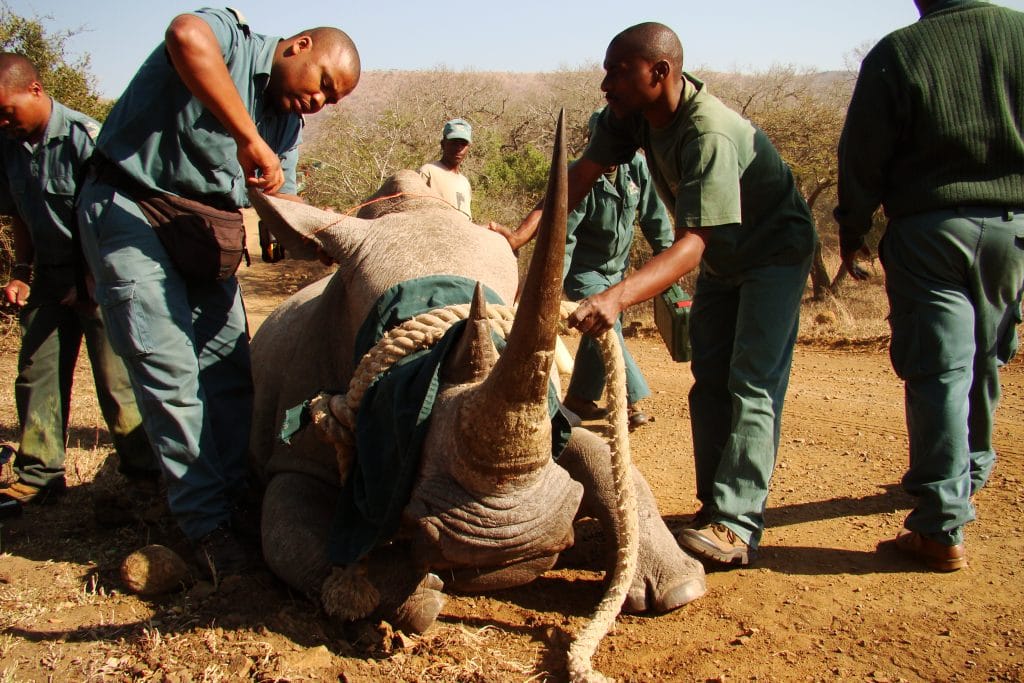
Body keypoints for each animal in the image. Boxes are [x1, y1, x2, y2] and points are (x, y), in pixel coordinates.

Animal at [247, 115, 705, 641]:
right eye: (388, 332)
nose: (511, 542)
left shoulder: (551, 418)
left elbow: (601, 456)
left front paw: (681, 587)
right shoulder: (296, 454)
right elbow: (292, 540)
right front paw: (418, 595)